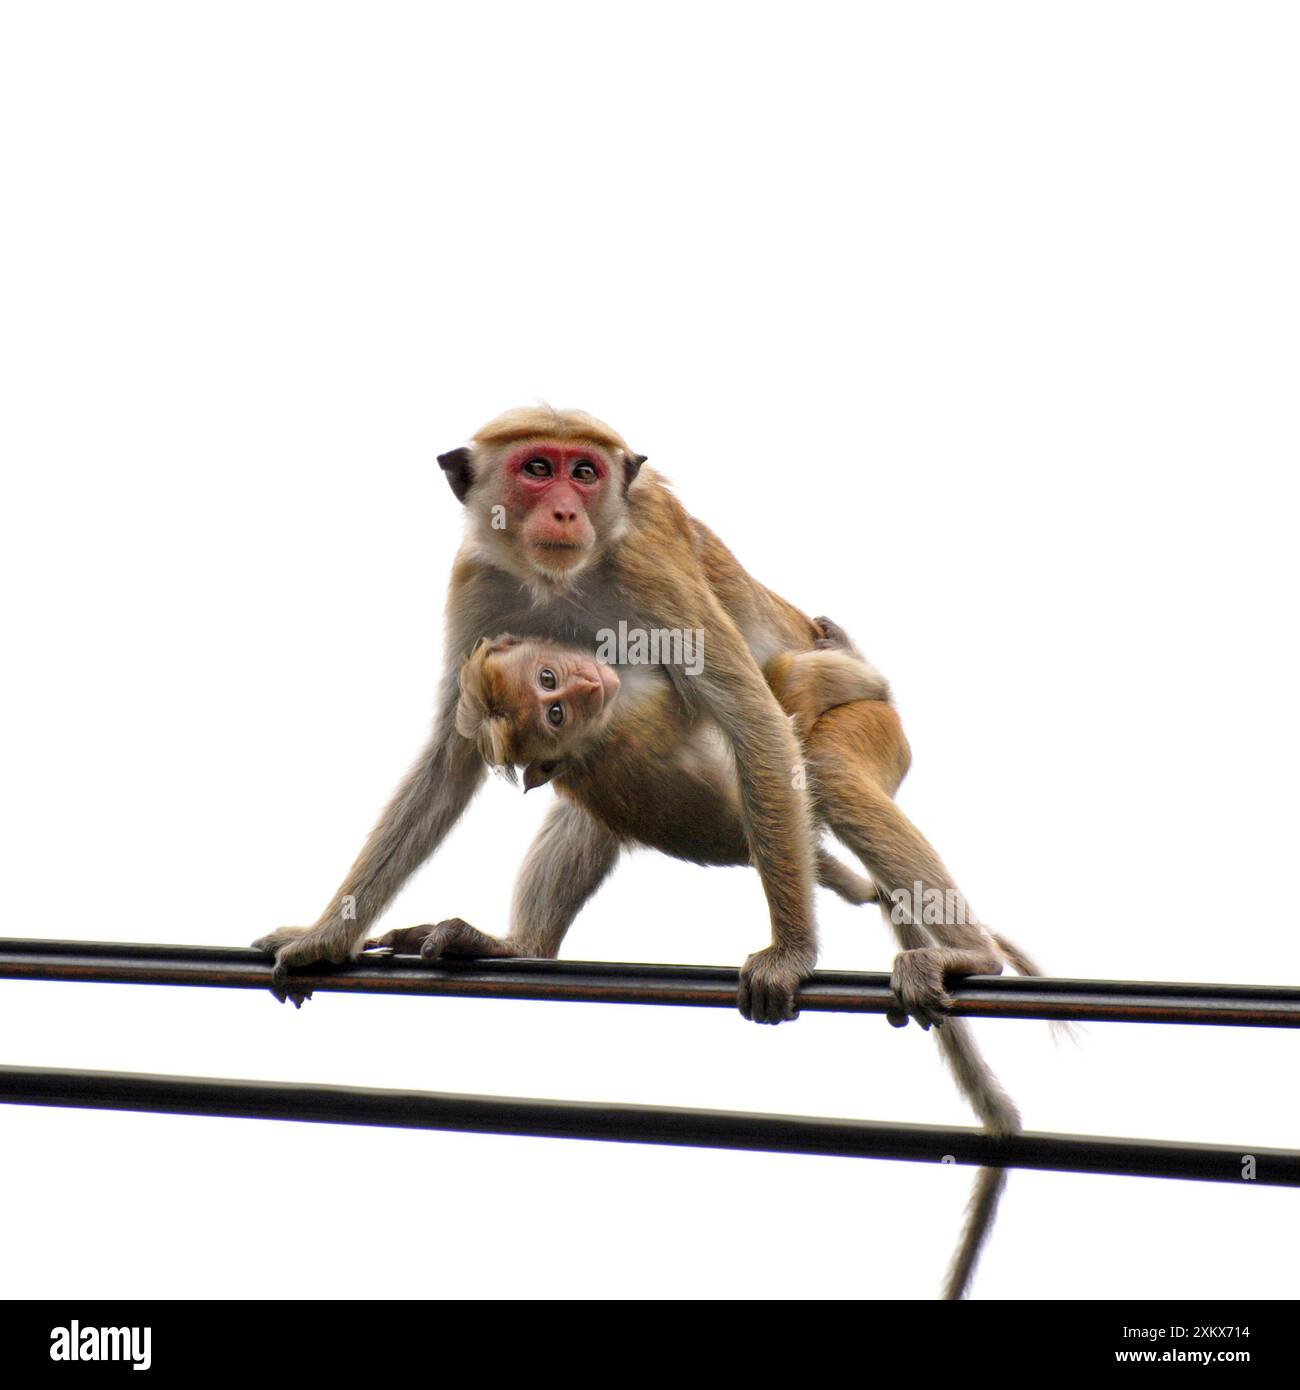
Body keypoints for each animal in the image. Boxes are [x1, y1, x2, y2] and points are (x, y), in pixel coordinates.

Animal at [369, 624, 1039, 1298]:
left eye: (550, 682)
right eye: (553, 708)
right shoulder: (635, 721)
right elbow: (776, 725)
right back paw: (965, 949)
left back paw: (520, 945)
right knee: (822, 764)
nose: (585, 685)